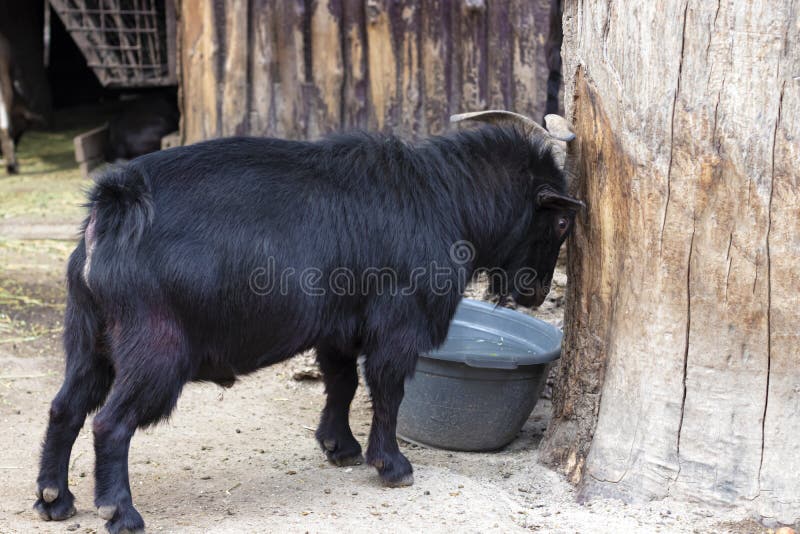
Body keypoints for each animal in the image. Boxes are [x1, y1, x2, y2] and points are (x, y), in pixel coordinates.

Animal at [34, 110, 583, 533]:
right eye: (560, 220)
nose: (535, 293)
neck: (445, 198)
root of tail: (112, 211)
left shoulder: (338, 329)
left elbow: (341, 382)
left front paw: (340, 447)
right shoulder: (398, 327)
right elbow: (387, 392)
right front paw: (392, 465)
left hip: (89, 337)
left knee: (65, 408)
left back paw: (54, 499)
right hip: (155, 350)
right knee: (109, 422)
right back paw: (120, 512)